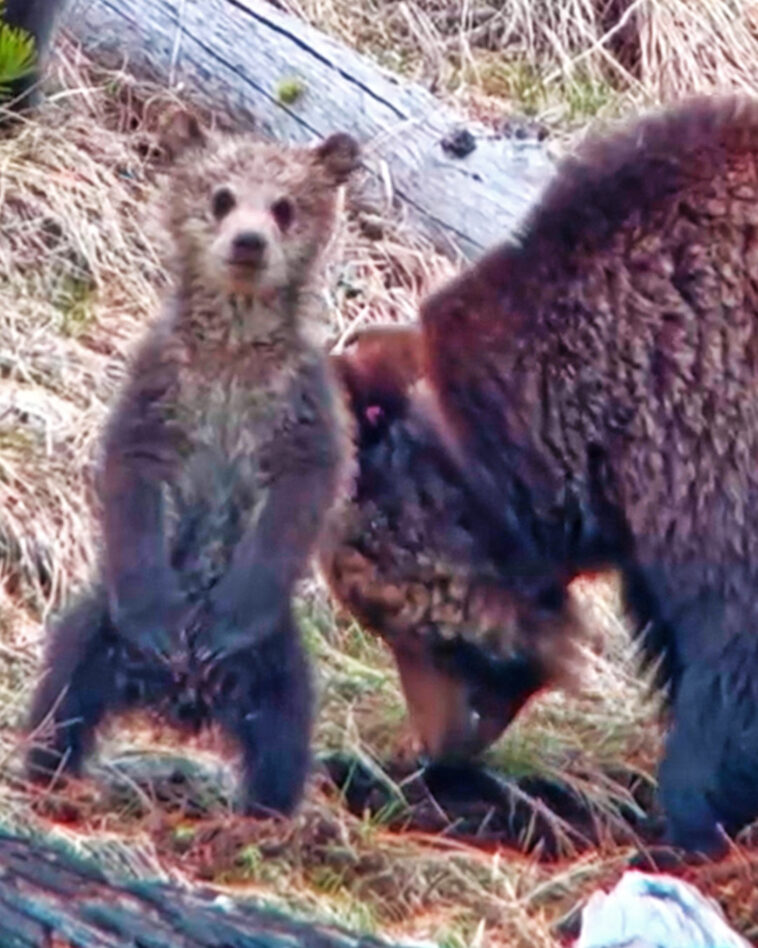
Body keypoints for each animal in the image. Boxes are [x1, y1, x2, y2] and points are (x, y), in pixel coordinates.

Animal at [25, 110, 359, 818]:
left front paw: (221, 623)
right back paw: (47, 774)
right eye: (222, 196)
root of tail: (180, 700)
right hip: (101, 630)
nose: (249, 242)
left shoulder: (299, 406)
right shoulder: (163, 389)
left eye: (285, 205)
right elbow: (132, 481)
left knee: (284, 730)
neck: (232, 351)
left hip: (277, 658)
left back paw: (267, 813)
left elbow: (295, 504)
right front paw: (162, 622)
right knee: (67, 684)